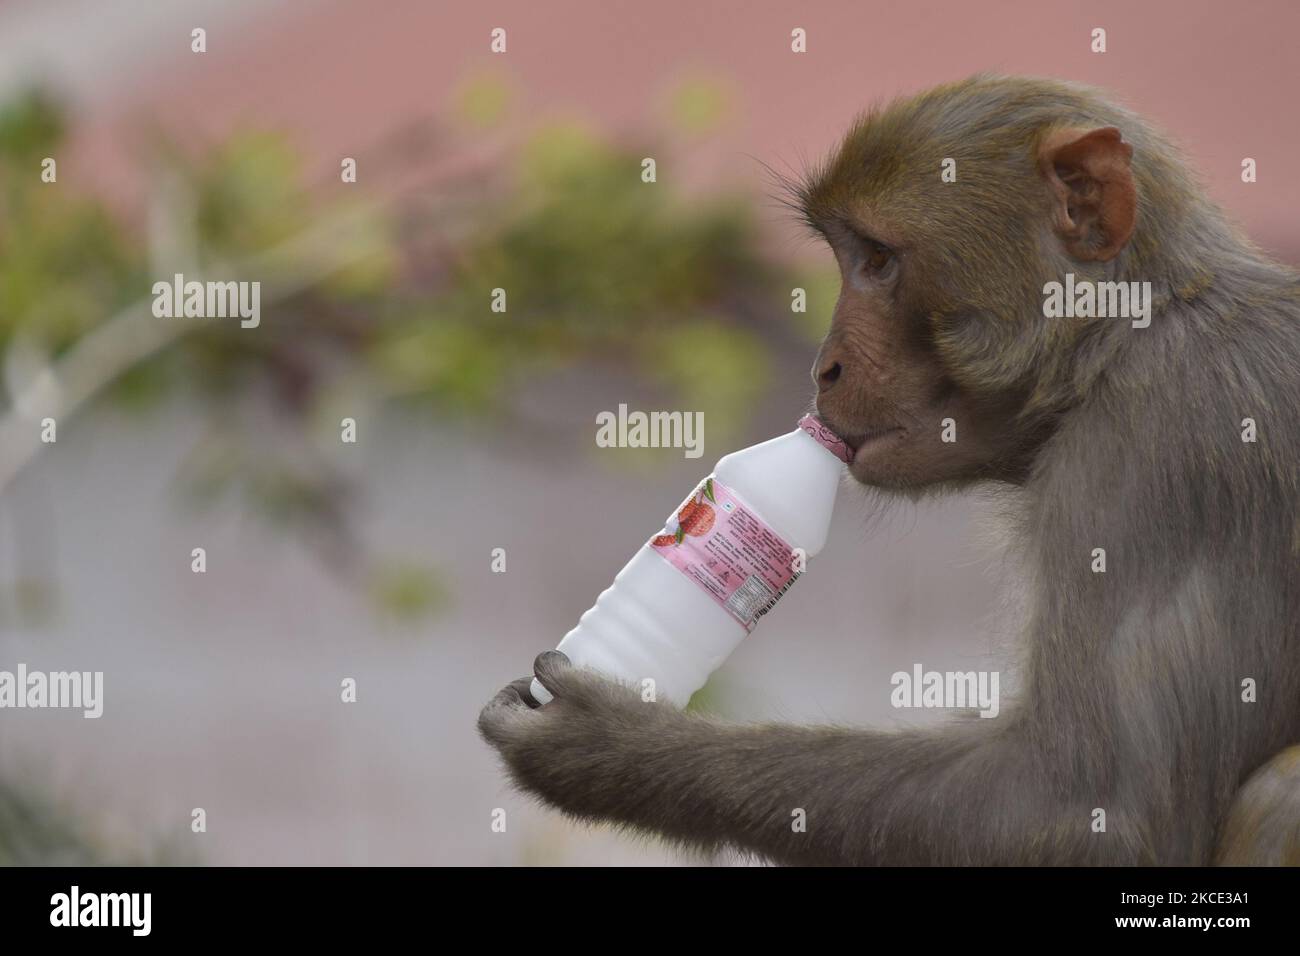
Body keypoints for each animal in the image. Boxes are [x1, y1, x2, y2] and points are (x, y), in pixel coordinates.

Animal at [478, 74, 1300, 865]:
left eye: (878, 259)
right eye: (847, 256)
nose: (824, 368)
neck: (1119, 340)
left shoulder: (1163, 436)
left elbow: (1086, 809)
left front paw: (606, 743)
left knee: (1275, 794)